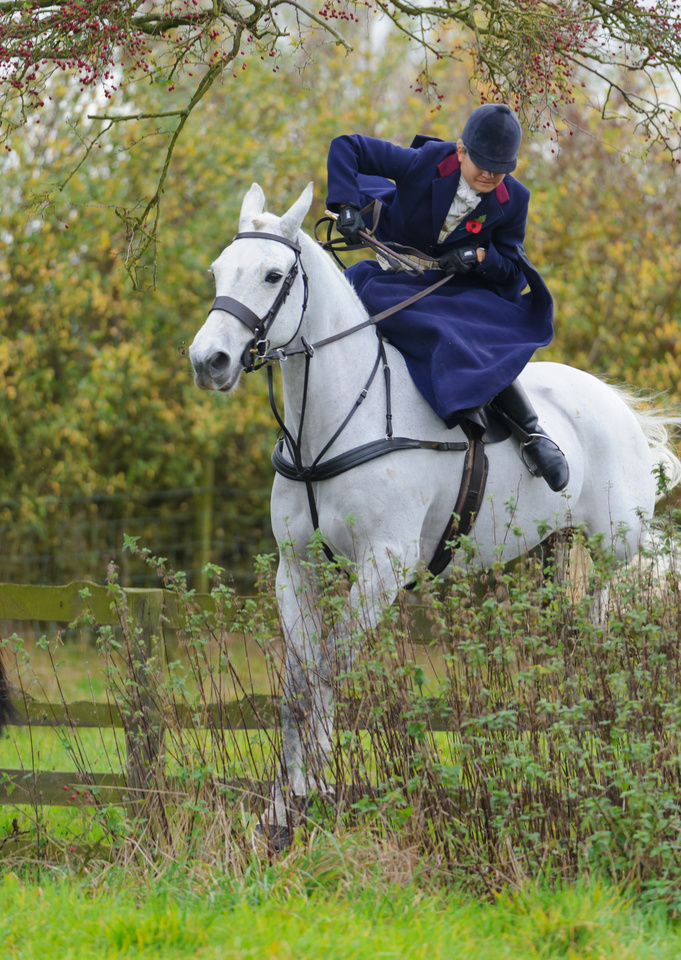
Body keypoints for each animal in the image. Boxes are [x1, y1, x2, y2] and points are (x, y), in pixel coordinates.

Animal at [189, 182, 681, 849]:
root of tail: (622, 410)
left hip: (614, 551)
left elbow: (328, 673)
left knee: (603, 631)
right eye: (218, 271)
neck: (338, 419)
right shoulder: (297, 570)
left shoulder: (383, 568)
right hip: (553, 554)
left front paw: (311, 795)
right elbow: (299, 685)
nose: (208, 360)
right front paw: (282, 813)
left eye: (271, 275)